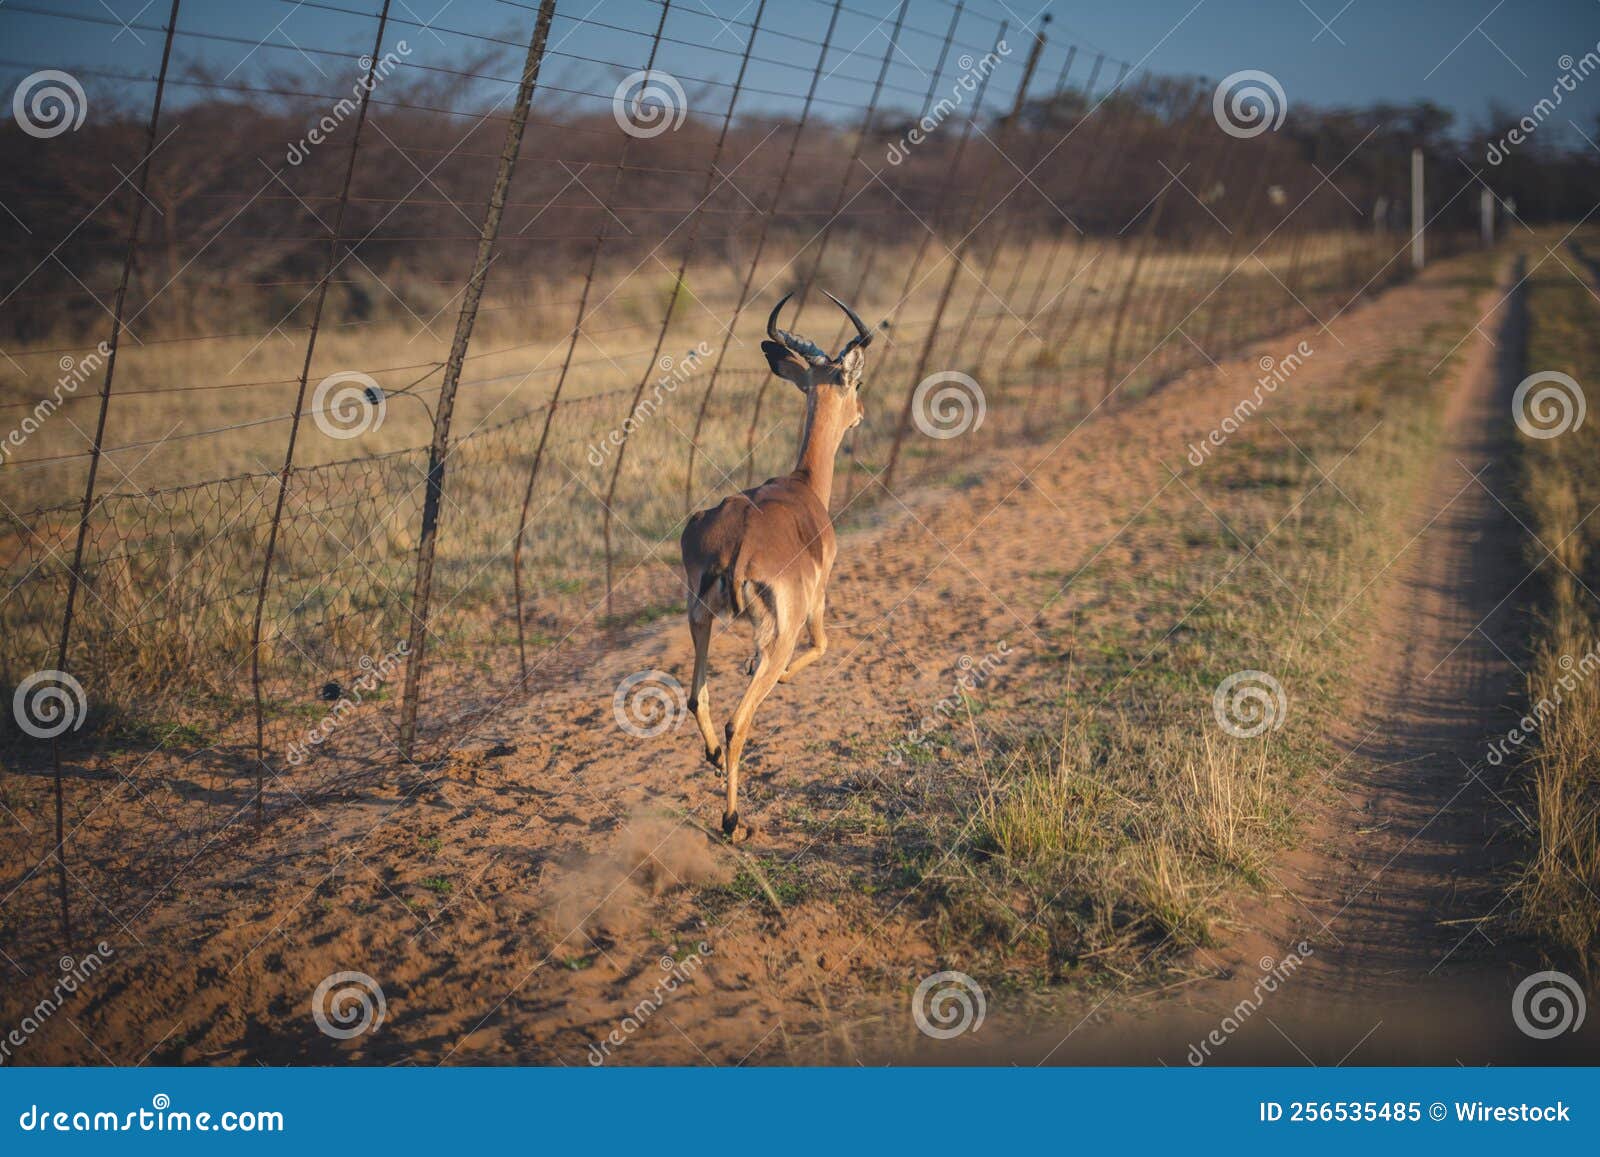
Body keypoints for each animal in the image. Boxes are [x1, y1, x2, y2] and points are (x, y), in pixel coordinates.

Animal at [680, 291, 873, 840]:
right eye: (855, 382)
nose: (861, 412)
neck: (804, 484)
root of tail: (737, 547)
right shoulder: (819, 600)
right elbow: (824, 646)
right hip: (778, 632)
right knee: (738, 720)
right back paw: (733, 821)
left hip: (697, 616)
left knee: (696, 697)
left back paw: (712, 756)